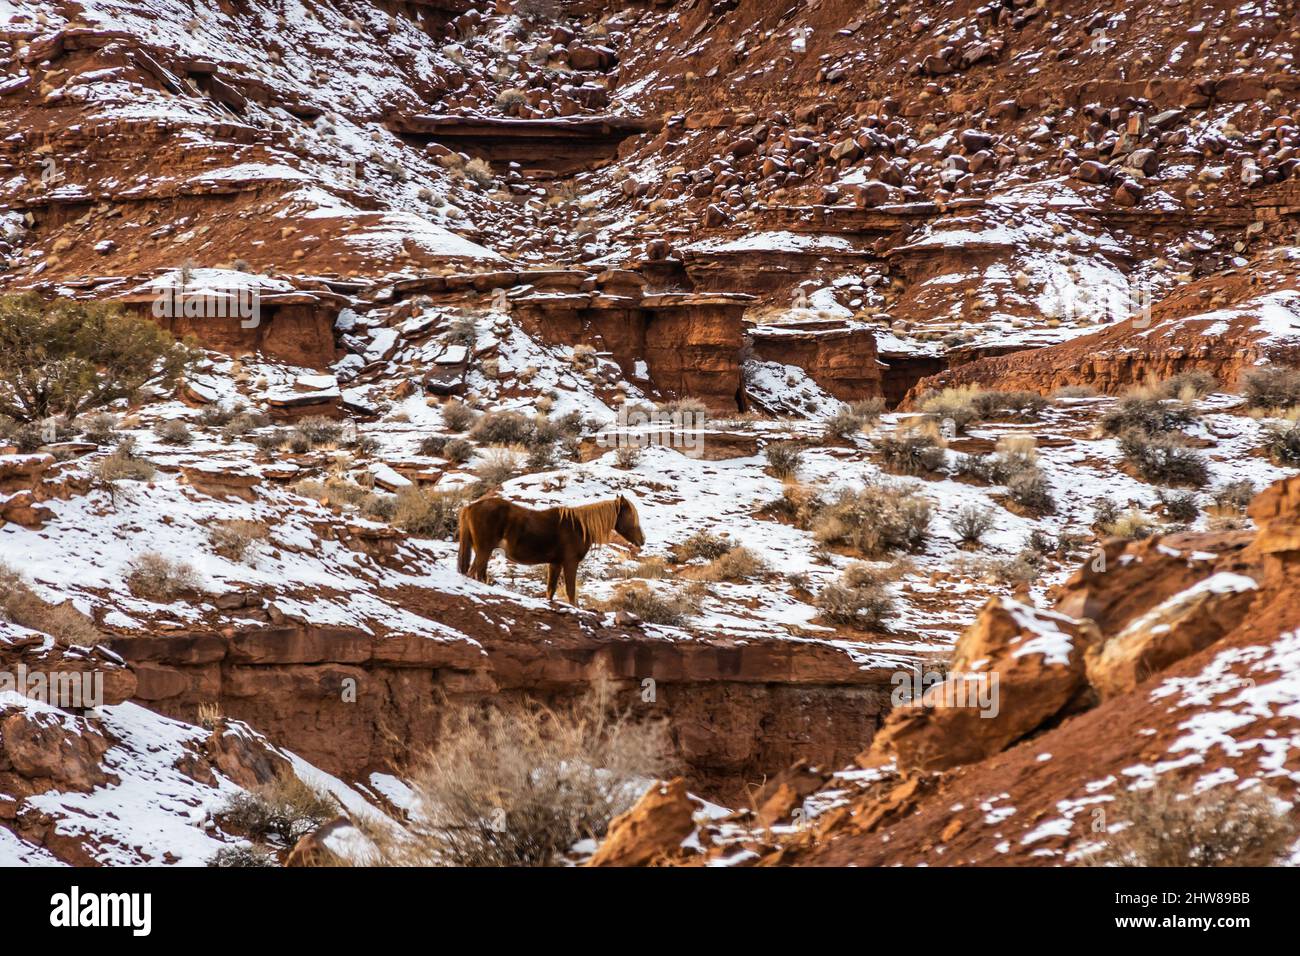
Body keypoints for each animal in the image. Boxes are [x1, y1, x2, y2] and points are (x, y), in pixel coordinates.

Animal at [457, 495, 646, 605]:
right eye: (631, 516)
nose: (642, 540)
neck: (579, 527)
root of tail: (470, 507)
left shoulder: (555, 564)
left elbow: (550, 591)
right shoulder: (570, 563)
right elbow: (571, 592)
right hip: (484, 550)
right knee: (473, 574)